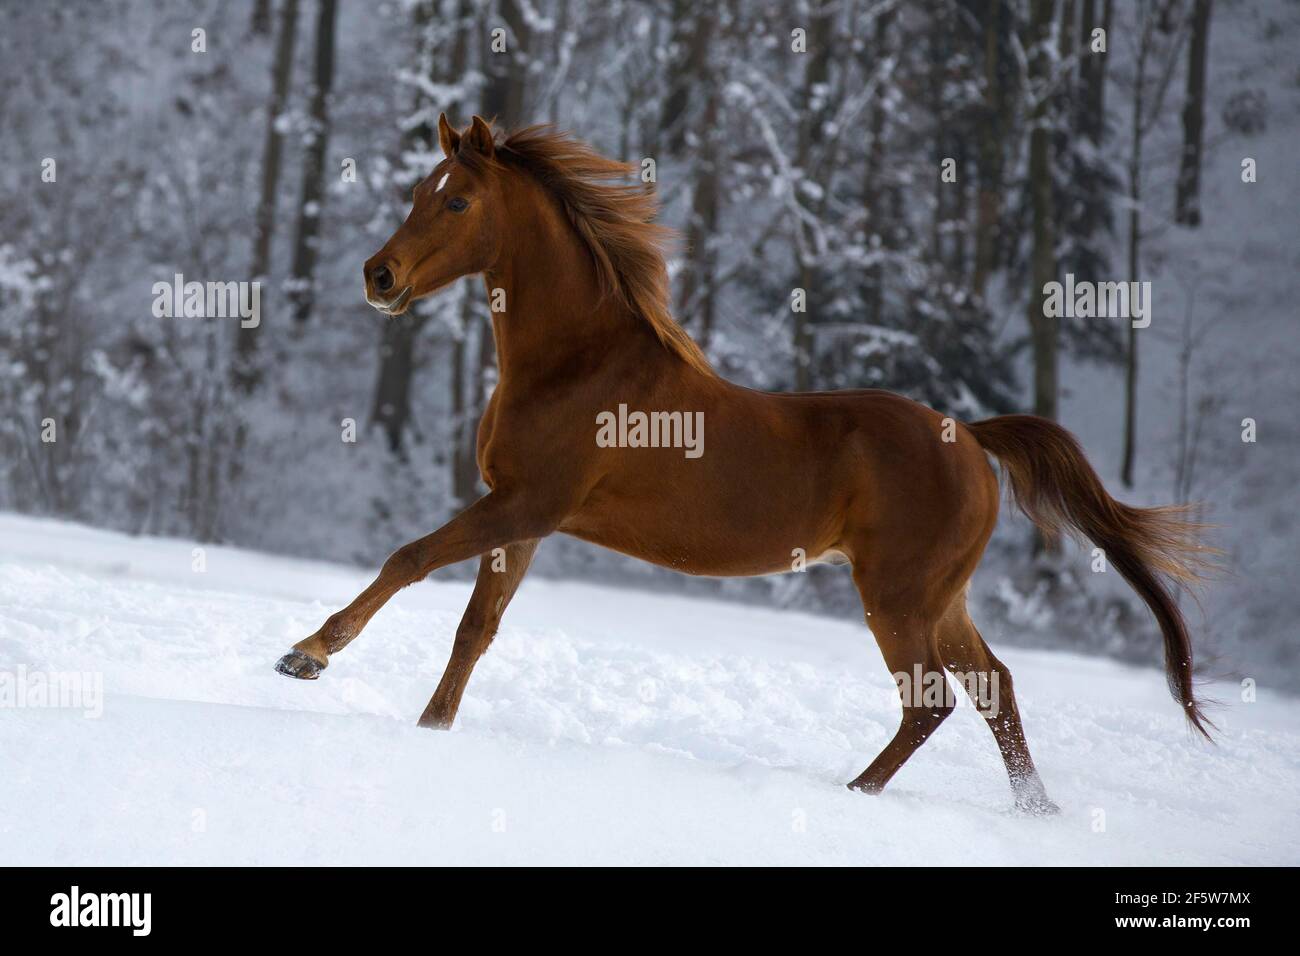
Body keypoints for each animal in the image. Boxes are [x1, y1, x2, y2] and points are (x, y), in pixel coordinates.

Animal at [275, 115, 1213, 812]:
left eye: (459, 200)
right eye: (417, 194)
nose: (378, 276)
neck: (576, 363)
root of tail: (973, 439)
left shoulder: (524, 504)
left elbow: (410, 558)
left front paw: (308, 655)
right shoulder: (525, 518)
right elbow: (476, 629)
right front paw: (429, 731)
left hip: (898, 596)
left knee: (934, 700)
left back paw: (854, 792)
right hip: (941, 597)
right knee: (996, 689)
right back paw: (1037, 811)